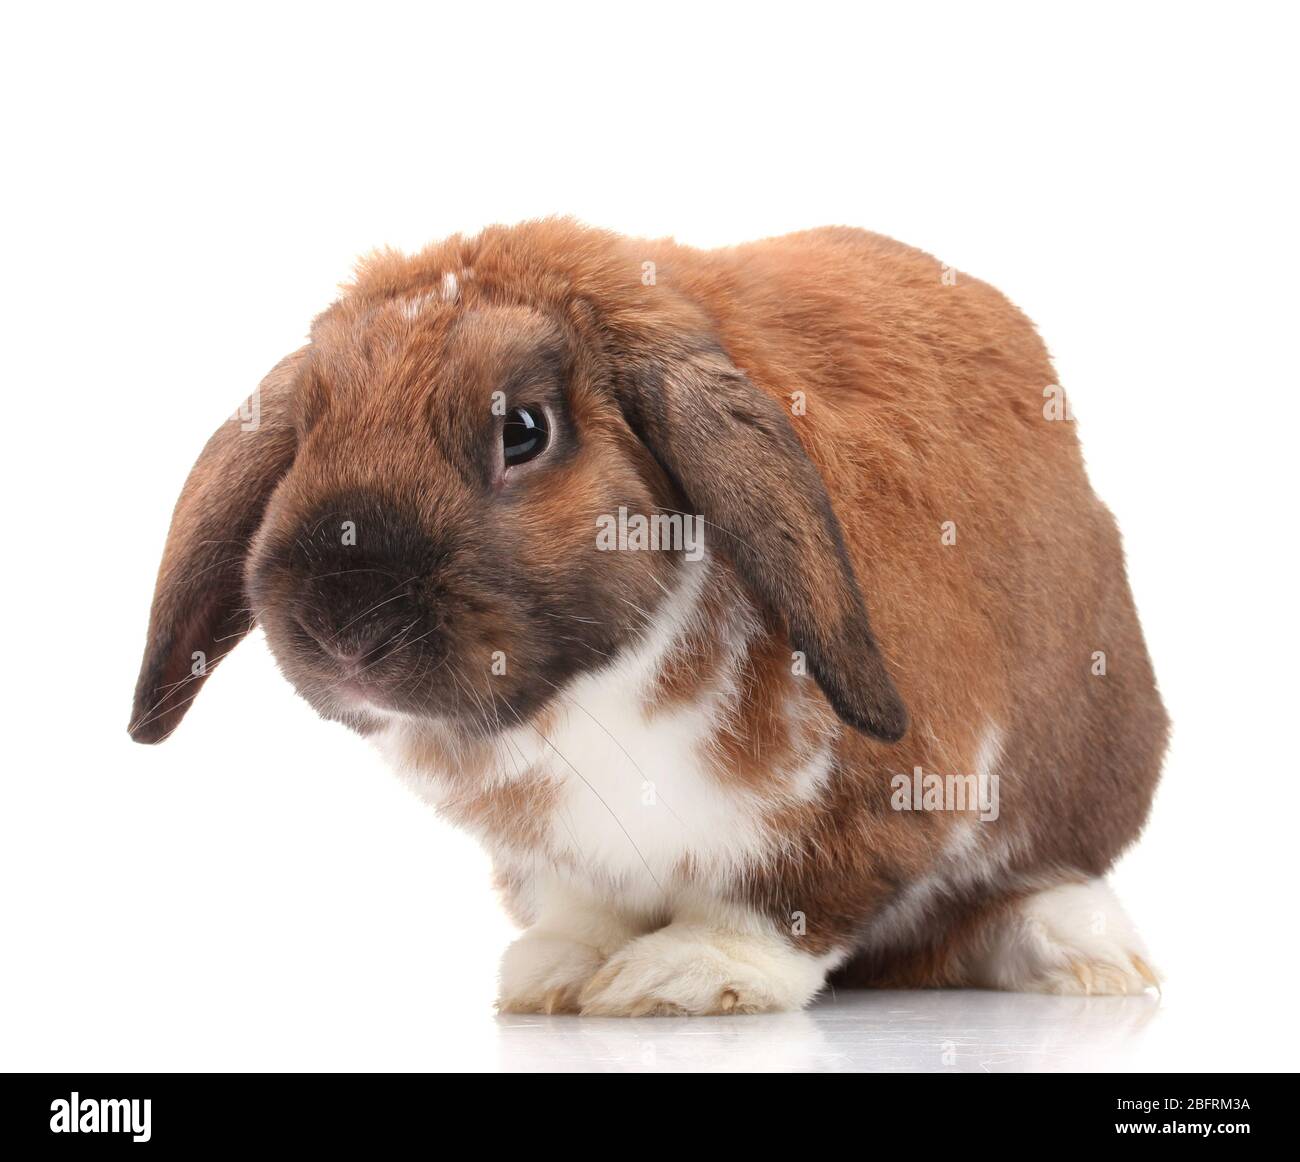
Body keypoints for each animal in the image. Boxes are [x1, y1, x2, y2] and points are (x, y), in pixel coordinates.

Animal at [129, 219, 1168, 1015]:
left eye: (524, 431)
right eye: (306, 429)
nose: (345, 627)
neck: (580, 704)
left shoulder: (883, 802)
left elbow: (785, 904)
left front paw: (681, 978)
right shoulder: (554, 858)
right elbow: (582, 911)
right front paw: (556, 974)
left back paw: (1090, 960)